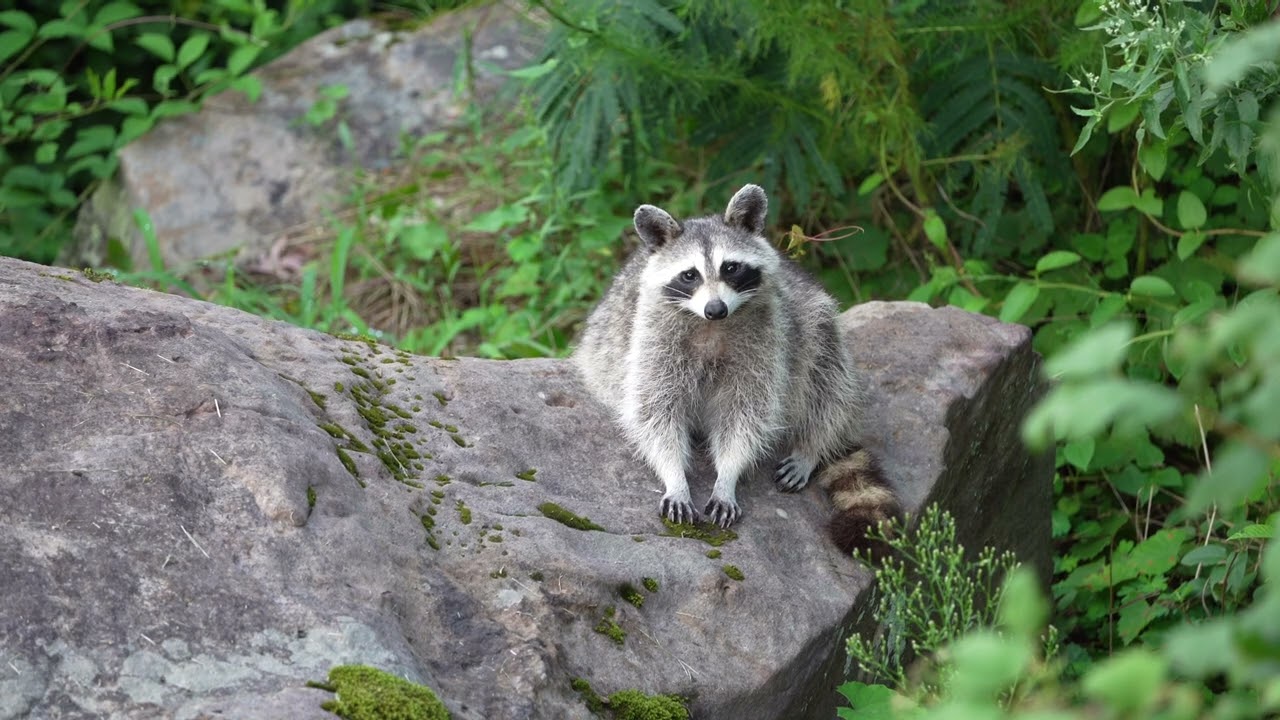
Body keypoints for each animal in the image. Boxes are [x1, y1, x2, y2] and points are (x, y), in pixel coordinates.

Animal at [573, 184, 899, 555]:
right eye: (690, 275)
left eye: (730, 268)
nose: (716, 308)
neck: (710, 326)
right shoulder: (652, 340)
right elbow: (655, 411)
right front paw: (674, 476)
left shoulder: (767, 337)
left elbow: (746, 413)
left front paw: (728, 475)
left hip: (811, 314)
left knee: (827, 372)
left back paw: (813, 445)